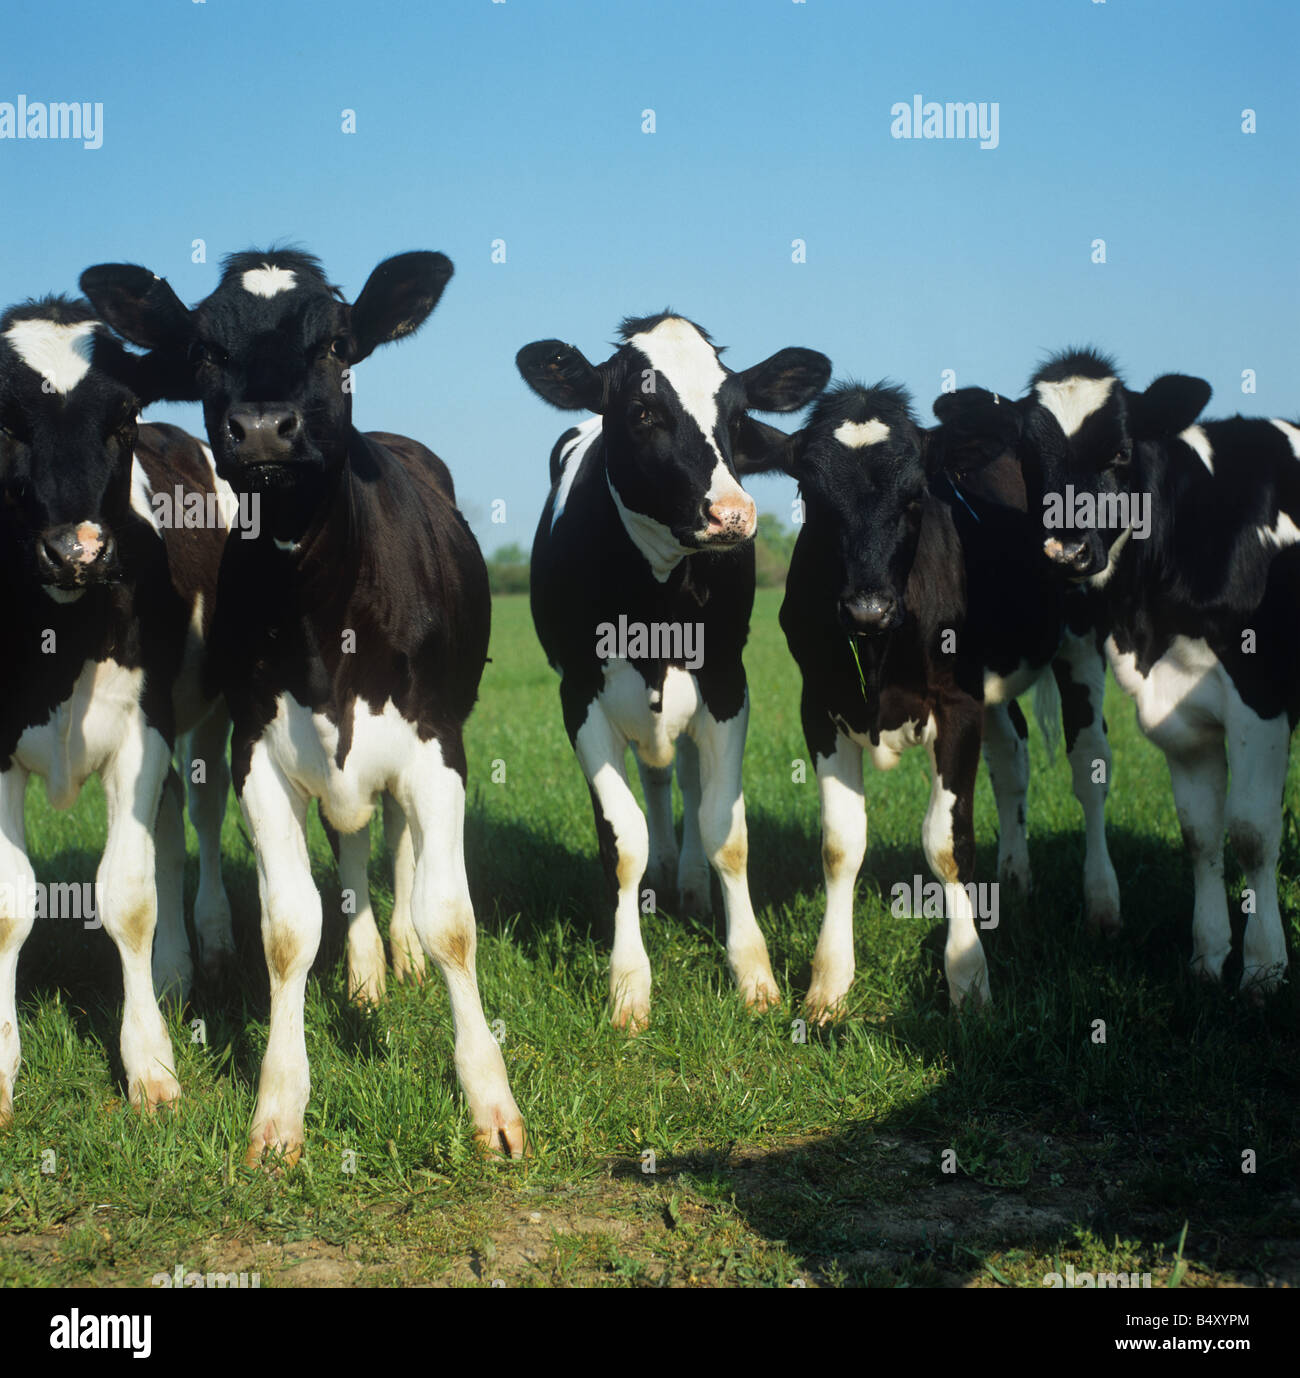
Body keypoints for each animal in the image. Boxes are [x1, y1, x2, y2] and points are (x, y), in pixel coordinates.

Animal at [0, 295, 234, 1127]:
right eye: (3, 421)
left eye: (124, 416)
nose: (77, 550)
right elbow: (8, 905)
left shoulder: (142, 731)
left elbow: (128, 897)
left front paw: (150, 1064)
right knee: (163, 821)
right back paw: (173, 972)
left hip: (206, 713)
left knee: (199, 809)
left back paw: (210, 942)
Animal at [81, 249, 525, 1162]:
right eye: (206, 351)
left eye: (336, 344)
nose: (261, 429)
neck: (323, 616)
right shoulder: (260, 753)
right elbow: (289, 928)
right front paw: (279, 1108)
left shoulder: (438, 750)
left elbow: (450, 918)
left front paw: (489, 1101)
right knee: (352, 850)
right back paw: (364, 975)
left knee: (399, 847)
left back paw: (397, 956)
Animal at [516, 315, 830, 1029]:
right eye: (642, 413)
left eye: (738, 417)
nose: (733, 515)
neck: (658, 597)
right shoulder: (578, 695)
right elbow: (622, 840)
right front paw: (628, 983)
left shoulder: (728, 683)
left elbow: (724, 829)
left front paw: (753, 971)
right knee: (654, 785)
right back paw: (662, 874)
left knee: (680, 777)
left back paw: (686, 883)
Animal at [768, 380, 1122, 1015]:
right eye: (812, 494)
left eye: (915, 496)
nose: (867, 609)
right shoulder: (820, 707)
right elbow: (840, 844)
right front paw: (829, 983)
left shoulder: (956, 704)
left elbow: (948, 842)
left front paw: (969, 979)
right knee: (1013, 762)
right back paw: (1014, 880)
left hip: (1081, 641)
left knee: (1090, 770)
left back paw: (1102, 903)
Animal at [939, 349, 1298, 995]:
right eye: (1027, 457)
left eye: (1123, 452)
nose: (1066, 552)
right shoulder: (1179, 715)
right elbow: (1199, 833)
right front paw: (1208, 956)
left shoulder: (1261, 701)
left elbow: (1252, 833)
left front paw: (1263, 968)